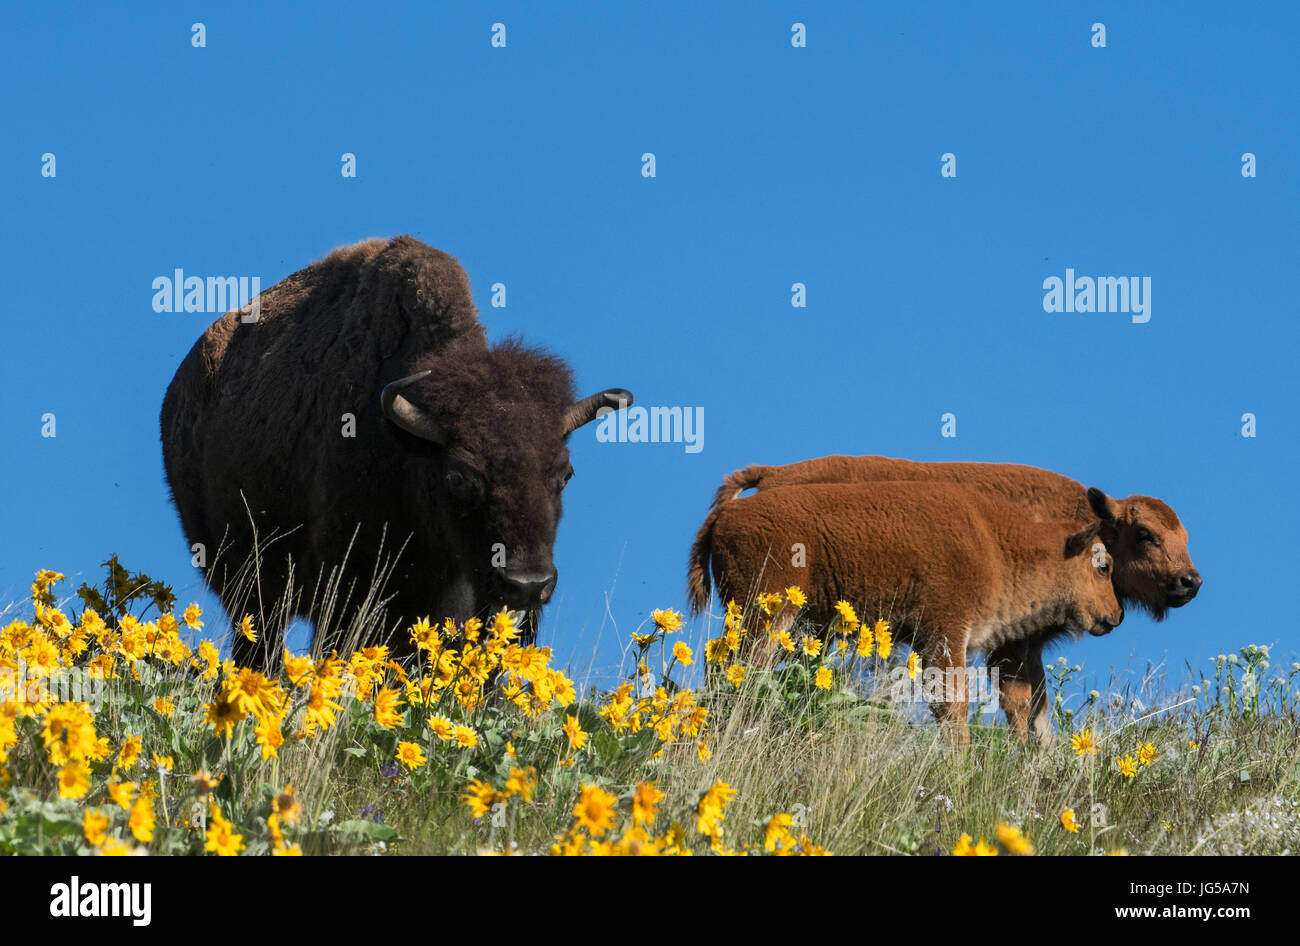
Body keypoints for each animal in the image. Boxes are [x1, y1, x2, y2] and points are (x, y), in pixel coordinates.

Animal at [689, 454, 1200, 742]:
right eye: (1145, 534)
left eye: (1184, 536)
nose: (1189, 582)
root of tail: (771, 475)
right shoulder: (999, 644)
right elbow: (1018, 707)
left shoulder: (1019, 646)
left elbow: (1035, 709)